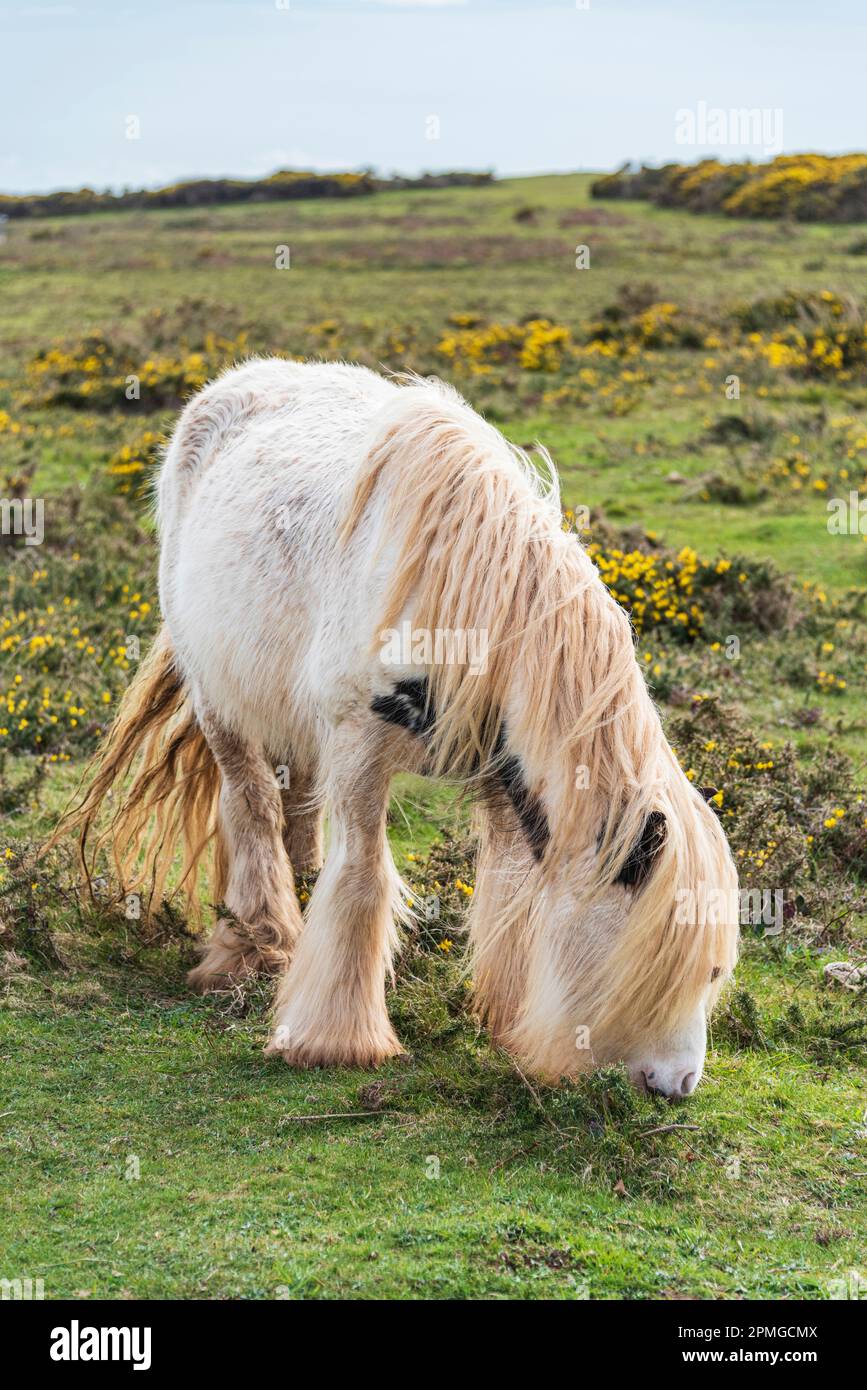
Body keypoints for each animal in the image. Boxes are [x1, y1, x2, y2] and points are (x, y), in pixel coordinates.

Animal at [55, 359, 739, 1097]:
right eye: (659, 967)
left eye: (711, 972)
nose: (680, 1085)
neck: (470, 605)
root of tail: (230, 385)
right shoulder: (359, 745)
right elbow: (362, 877)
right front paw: (337, 1039)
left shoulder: (499, 774)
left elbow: (510, 891)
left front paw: (505, 1017)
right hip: (219, 697)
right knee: (251, 805)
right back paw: (259, 943)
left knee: (296, 807)